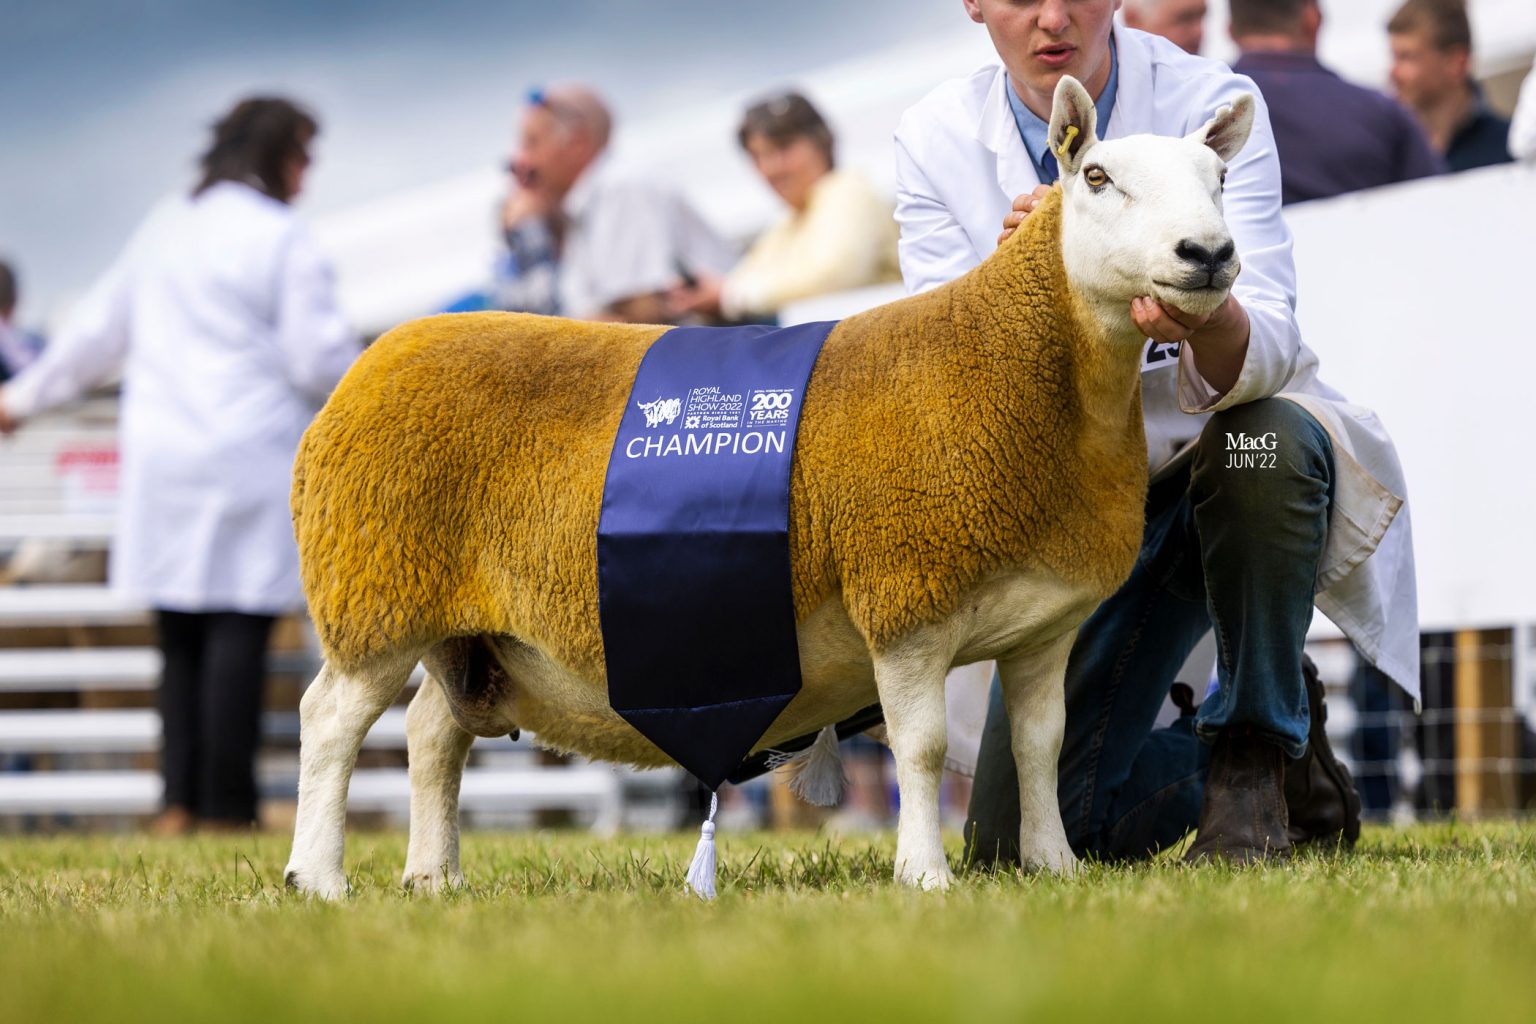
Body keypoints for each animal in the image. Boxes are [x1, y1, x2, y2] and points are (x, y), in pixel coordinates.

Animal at [283, 77, 1256, 898]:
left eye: (1219, 178)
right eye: (1095, 176)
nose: (1207, 253)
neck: (1011, 365)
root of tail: (380, 357)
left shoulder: (1043, 626)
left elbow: (1040, 748)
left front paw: (1054, 868)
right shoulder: (903, 598)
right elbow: (922, 748)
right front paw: (926, 878)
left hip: (465, 624)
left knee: (429, 735)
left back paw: (433, 878)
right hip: (373, 593)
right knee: (328, 721)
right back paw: (318, 879)